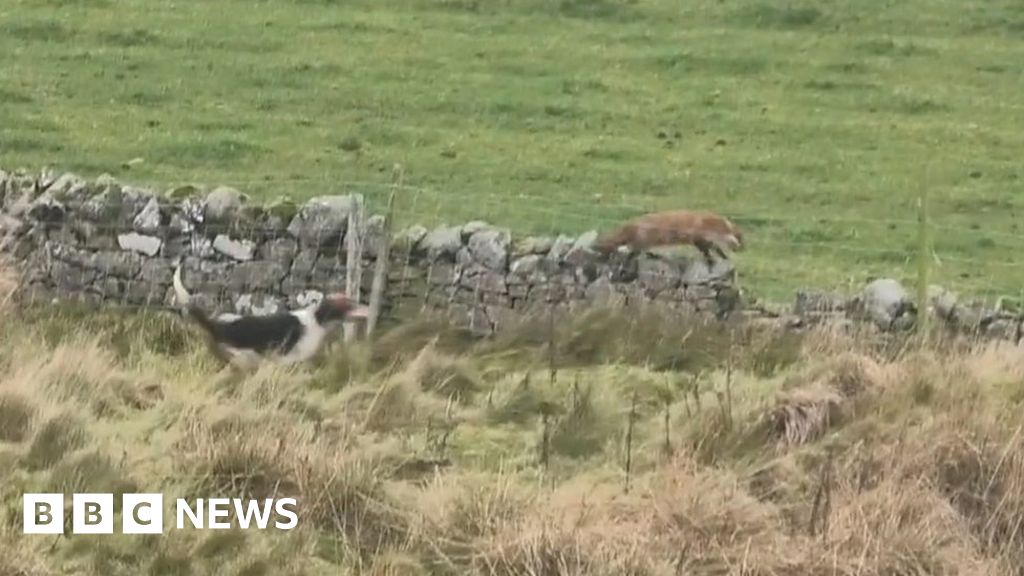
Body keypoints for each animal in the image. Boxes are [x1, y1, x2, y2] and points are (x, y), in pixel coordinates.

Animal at [593, 209, 745, 265]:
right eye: (741, 239)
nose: (743, 248)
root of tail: (632, 222)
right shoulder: (698, 237)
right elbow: (707, 250)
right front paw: (713, 259)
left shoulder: (703, 239)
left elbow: (715, 248)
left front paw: (723, 257)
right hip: (644, 239)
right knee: (633, 249)